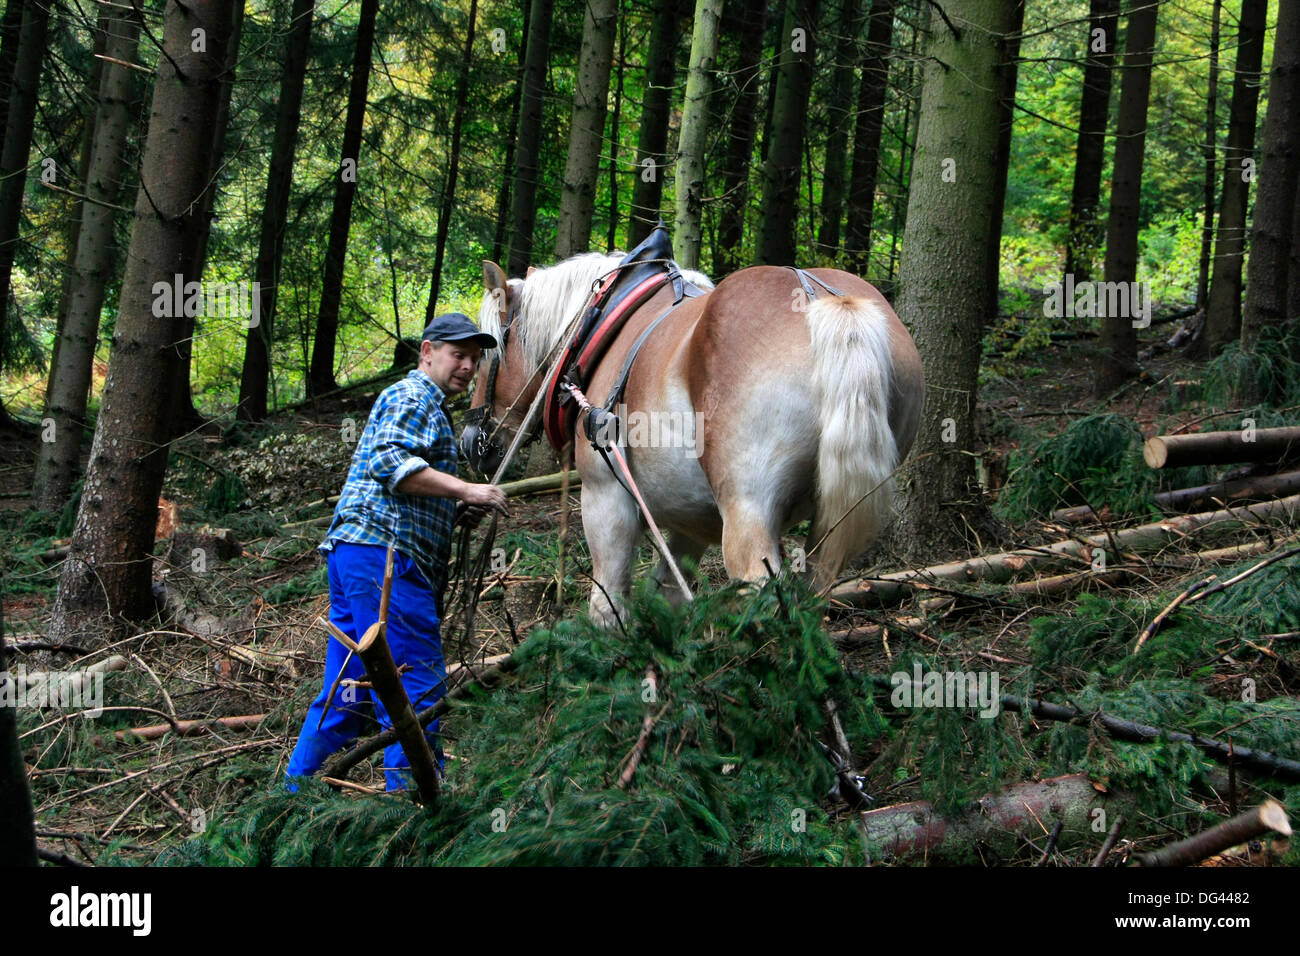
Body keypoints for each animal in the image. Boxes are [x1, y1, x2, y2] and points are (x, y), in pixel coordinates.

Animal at [464, 251, 925, 628]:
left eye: (488, 354)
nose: (470, 439)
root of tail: (826, 301)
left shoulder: (605, 495)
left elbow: (608, 606)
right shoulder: (694, 523)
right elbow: (667, 595)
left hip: (746, 507)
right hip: (834, 522)